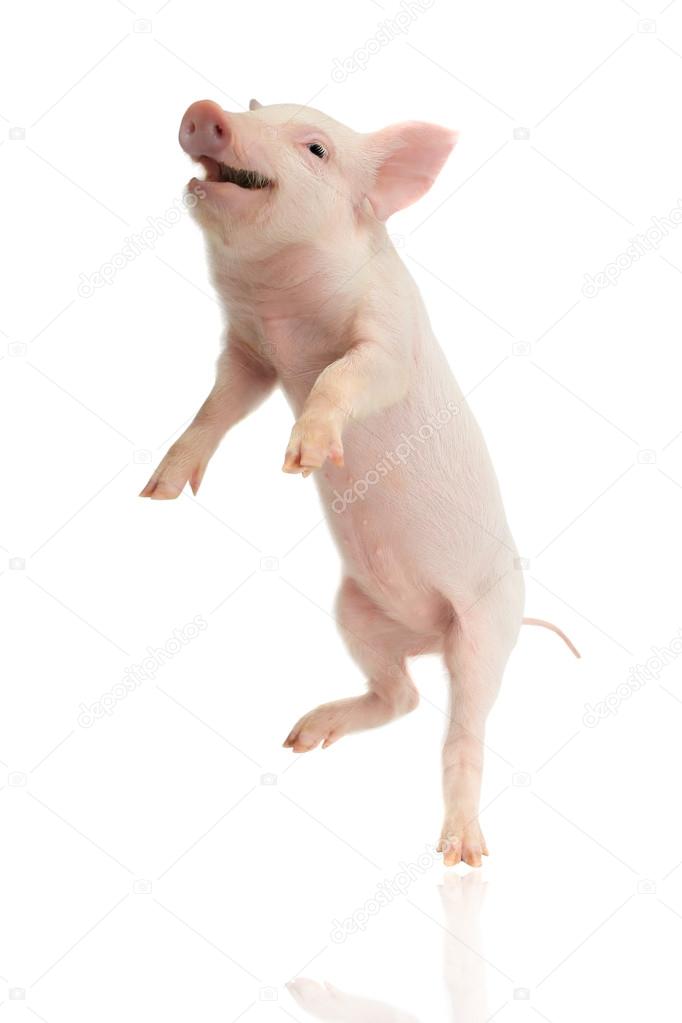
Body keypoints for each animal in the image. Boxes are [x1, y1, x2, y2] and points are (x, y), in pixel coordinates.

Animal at [141, 98, 579, 867]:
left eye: (315, 148)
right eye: (255, 106)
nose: (205, 109)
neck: (284, 316)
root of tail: (430, 636)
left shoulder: (386, 341)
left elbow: (345, 374)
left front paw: (304, 458)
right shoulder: (250, 353)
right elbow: (217, 406)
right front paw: (156, 491)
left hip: (484, 630)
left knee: (463, 729)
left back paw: (461, 855)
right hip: (357, 611)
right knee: (400, 697)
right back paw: (300, 736)